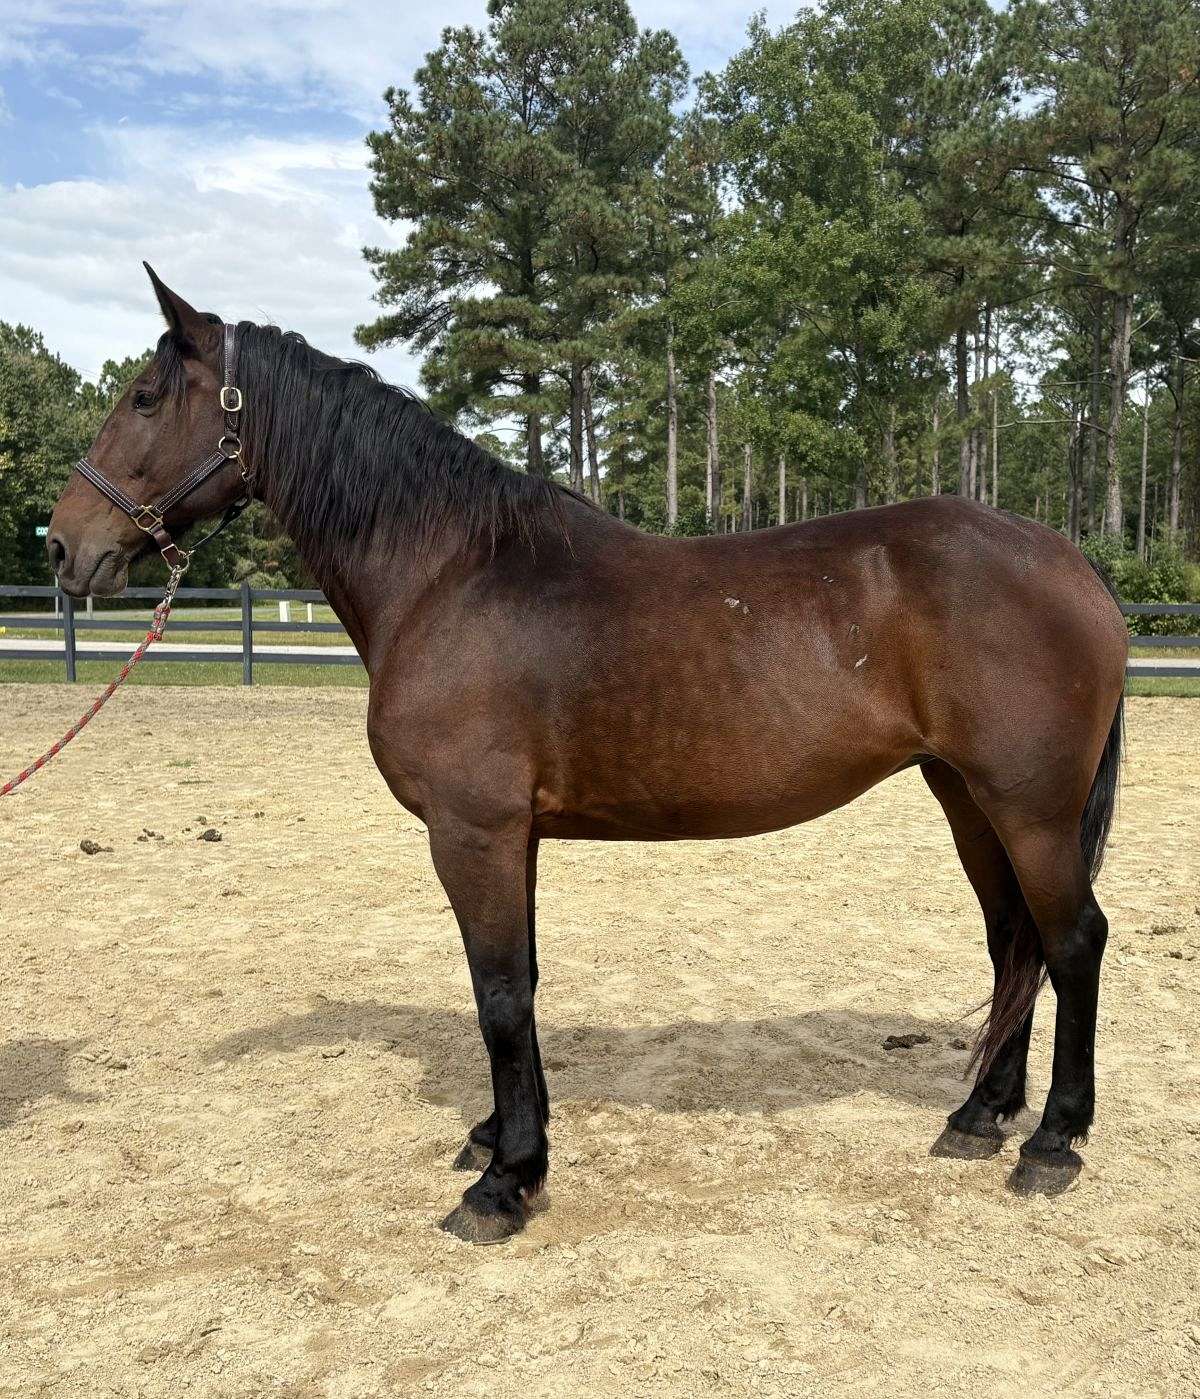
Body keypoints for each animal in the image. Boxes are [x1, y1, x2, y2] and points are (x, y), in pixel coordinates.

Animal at [46, 268, 1129, 1243]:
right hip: (967, 797)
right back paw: (980, 1115)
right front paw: (499, 1135)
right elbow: (518, 982)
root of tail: (1071, 561)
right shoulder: (511, 834)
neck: (449, 573)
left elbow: (497, 992)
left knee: (1072, 941)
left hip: (1027, 807)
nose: (62, 548)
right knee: (1015, 941)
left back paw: (1052, 1142)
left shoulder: (472, 830)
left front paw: (504, 1182)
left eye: (144, 397)